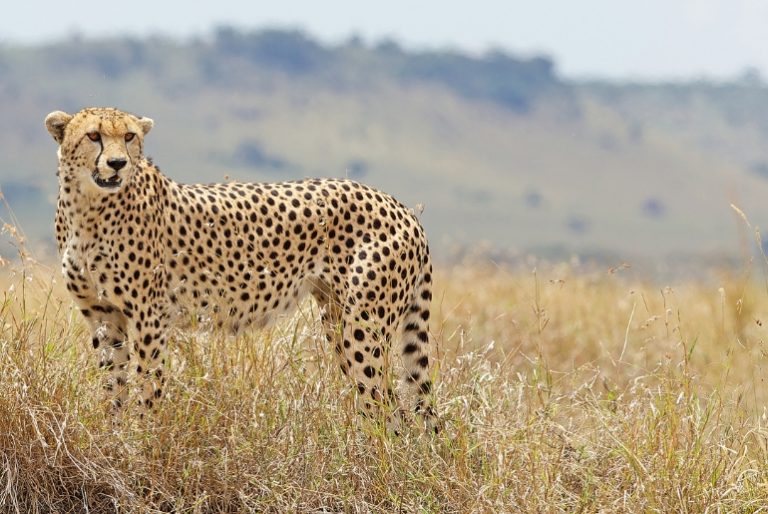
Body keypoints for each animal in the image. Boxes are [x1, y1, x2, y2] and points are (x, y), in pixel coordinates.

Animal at [45, 107, 436, 430]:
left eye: (129, 137)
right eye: (93, 136)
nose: (117, 164)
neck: (88, 208)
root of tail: (400, 206)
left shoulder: (149, 316)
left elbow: (147, 384)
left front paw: (140, 443)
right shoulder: (103, 314)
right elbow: (114, 387)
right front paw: (112, 437)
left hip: (363, 325)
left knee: (389, 407)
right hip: (338, 318)